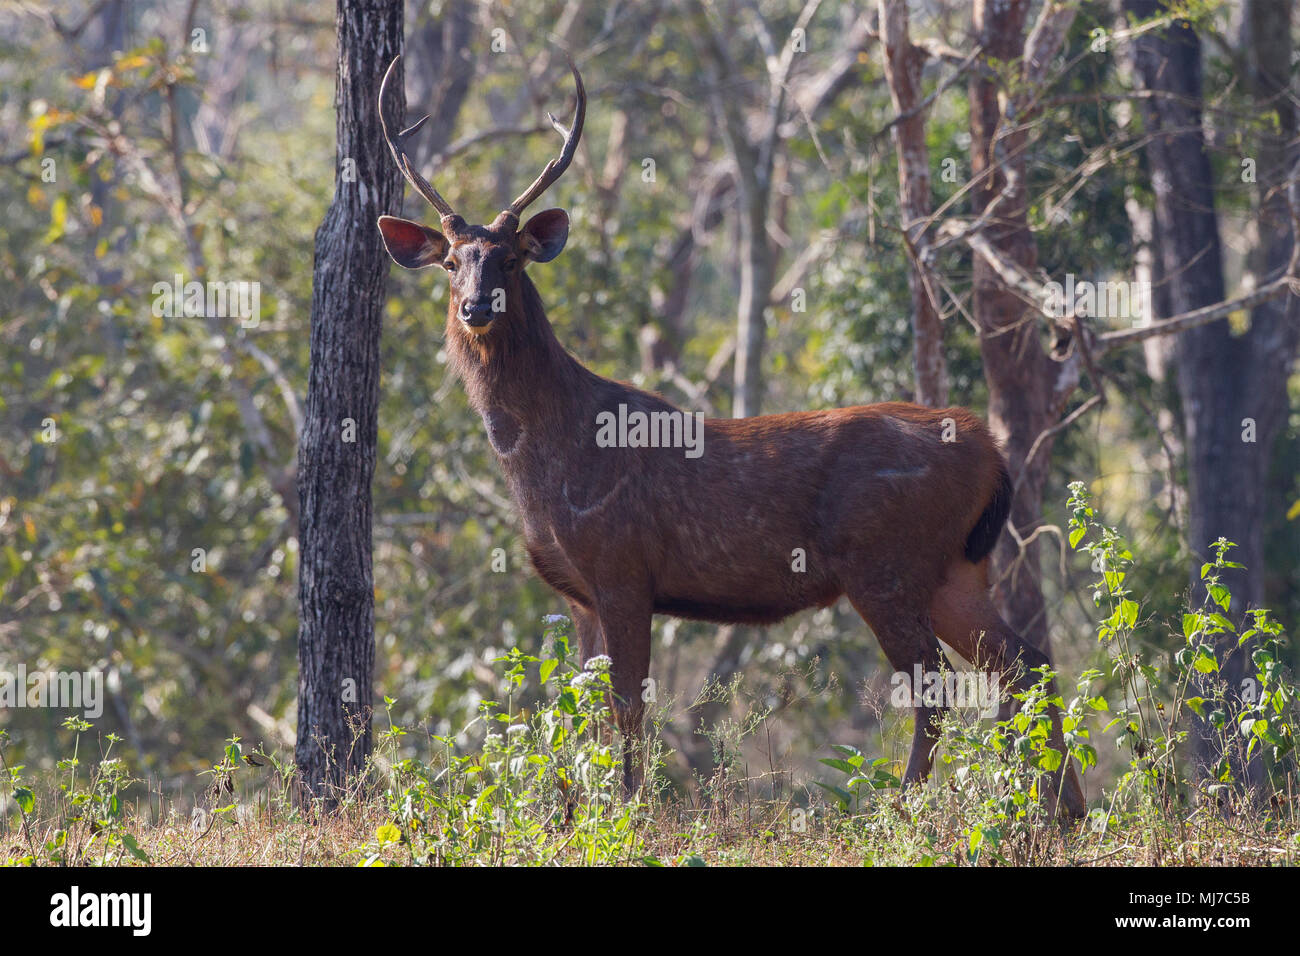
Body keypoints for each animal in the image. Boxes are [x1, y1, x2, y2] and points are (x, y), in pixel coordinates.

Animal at [374, 54, 1087, 819]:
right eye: (453, 261)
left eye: (510, 258)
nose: (477, 306)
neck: (543, 462)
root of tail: (993, 452)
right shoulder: (577, 590)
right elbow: (583, 709)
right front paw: (578, 813)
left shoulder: (623, 564)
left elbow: (626, 705)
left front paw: (630, 812)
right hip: (955, 566)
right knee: (1027, 662)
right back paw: (1065, 812)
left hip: (885, 560)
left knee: (939, 685)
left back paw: (906, 810)